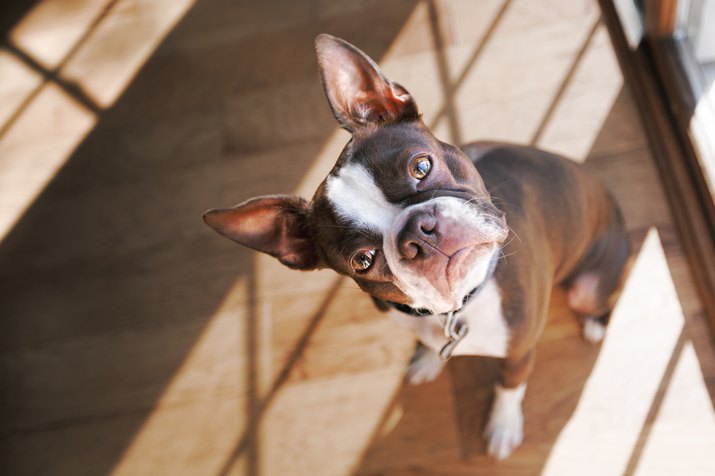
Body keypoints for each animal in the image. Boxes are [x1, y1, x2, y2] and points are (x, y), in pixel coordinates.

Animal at [203, 34, 632, 462]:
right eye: (363, 260)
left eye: (421, 167)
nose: (419, 232)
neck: (461, 304)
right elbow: (428, 341)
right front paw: (427, 358)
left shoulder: (520, 348)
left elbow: (510, 384)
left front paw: (503, 425)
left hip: (585, 289)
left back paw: (594, 323)